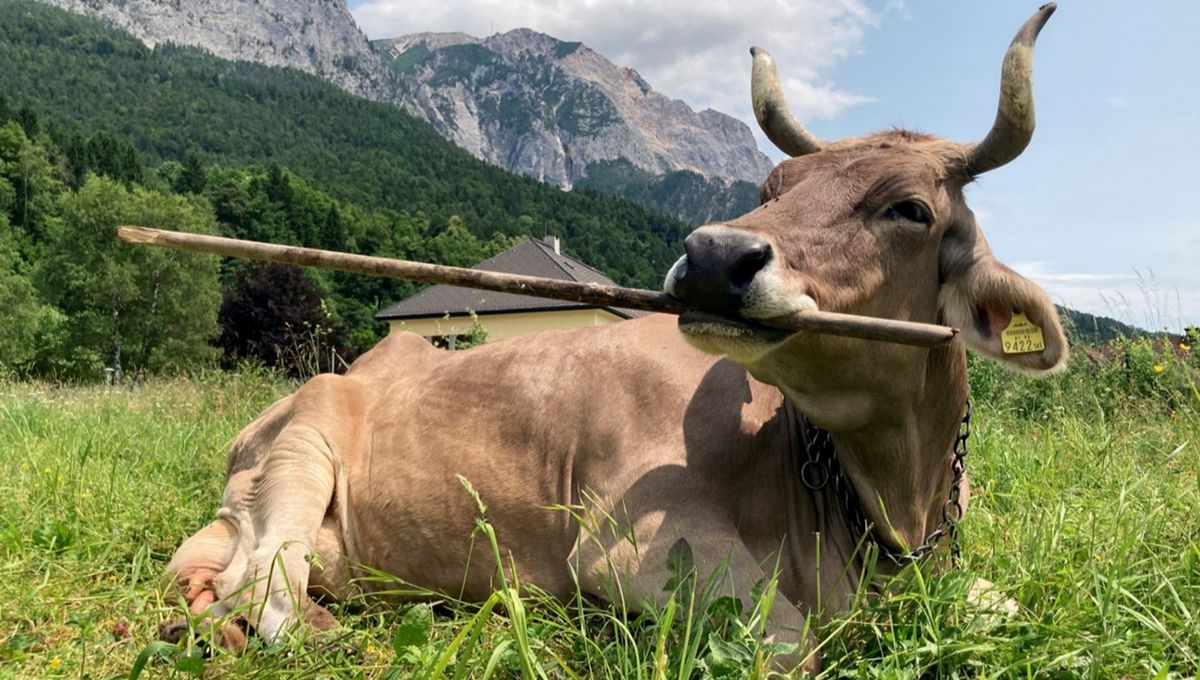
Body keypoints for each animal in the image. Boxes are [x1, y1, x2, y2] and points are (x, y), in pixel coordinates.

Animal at [161, 4, 1065, 673]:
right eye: (773, 186)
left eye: (909, 208)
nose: (714, 256)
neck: (889, 508)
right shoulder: (631, 549)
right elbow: (793, 646)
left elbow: (1013, 603)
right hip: (302, 447)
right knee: (262, 590)